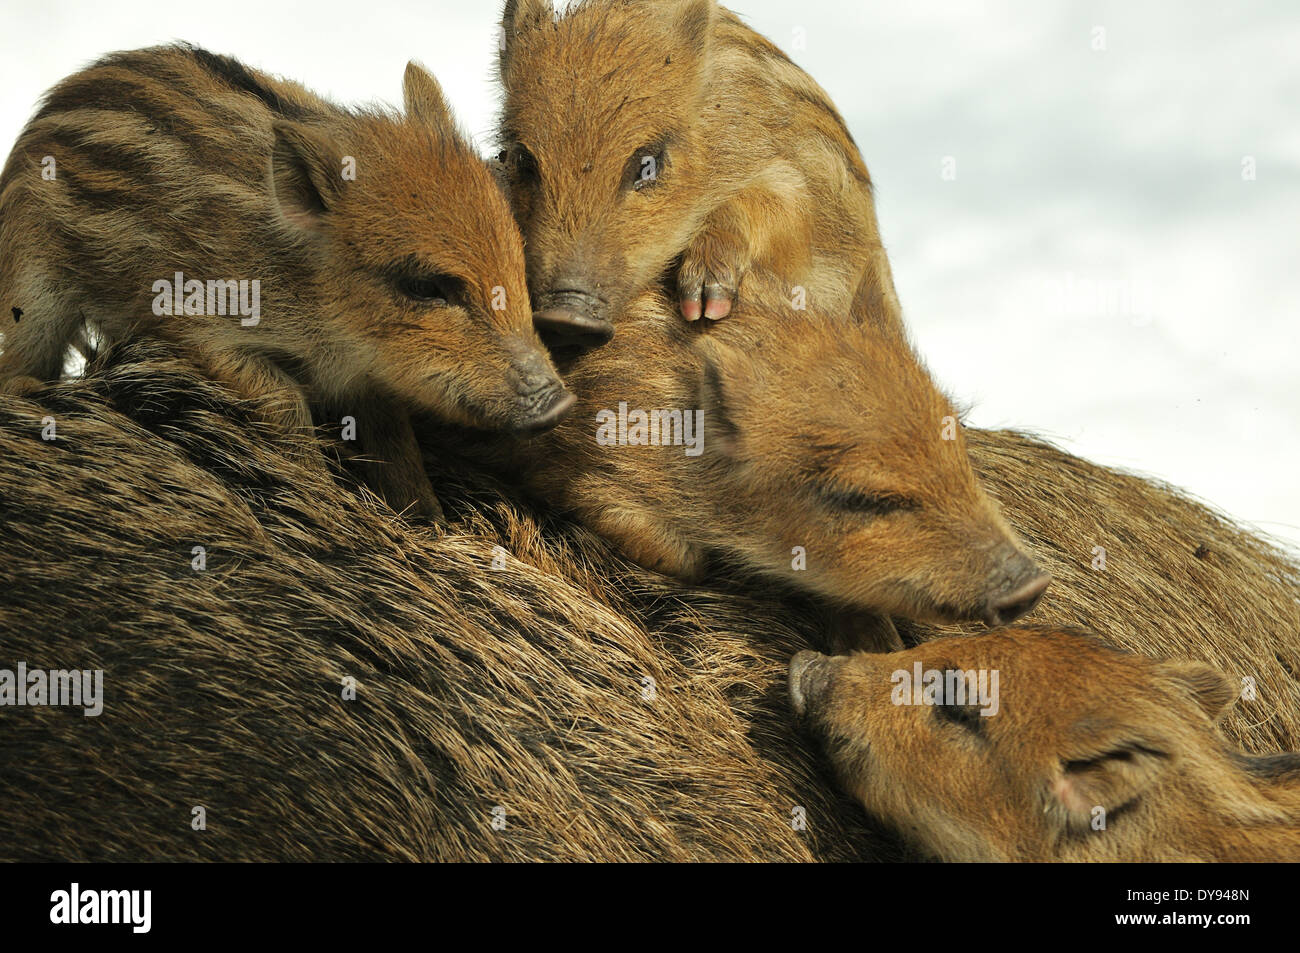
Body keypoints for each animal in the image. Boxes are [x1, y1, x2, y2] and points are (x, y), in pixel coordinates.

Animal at [0, 43, 573, 520]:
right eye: (423, 287)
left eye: (516, 260)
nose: (561, 402)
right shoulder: (187, 319)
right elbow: (282, 397)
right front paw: (317, 486)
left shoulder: (369, 376)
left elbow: (394, 438)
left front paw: (430, 524)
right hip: (30, 290)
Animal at [497, 0, 889, 340]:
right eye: (522, 160)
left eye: (648, 166)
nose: (565, 317)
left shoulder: (802, 187)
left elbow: (775, 206)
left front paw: (704, 309)